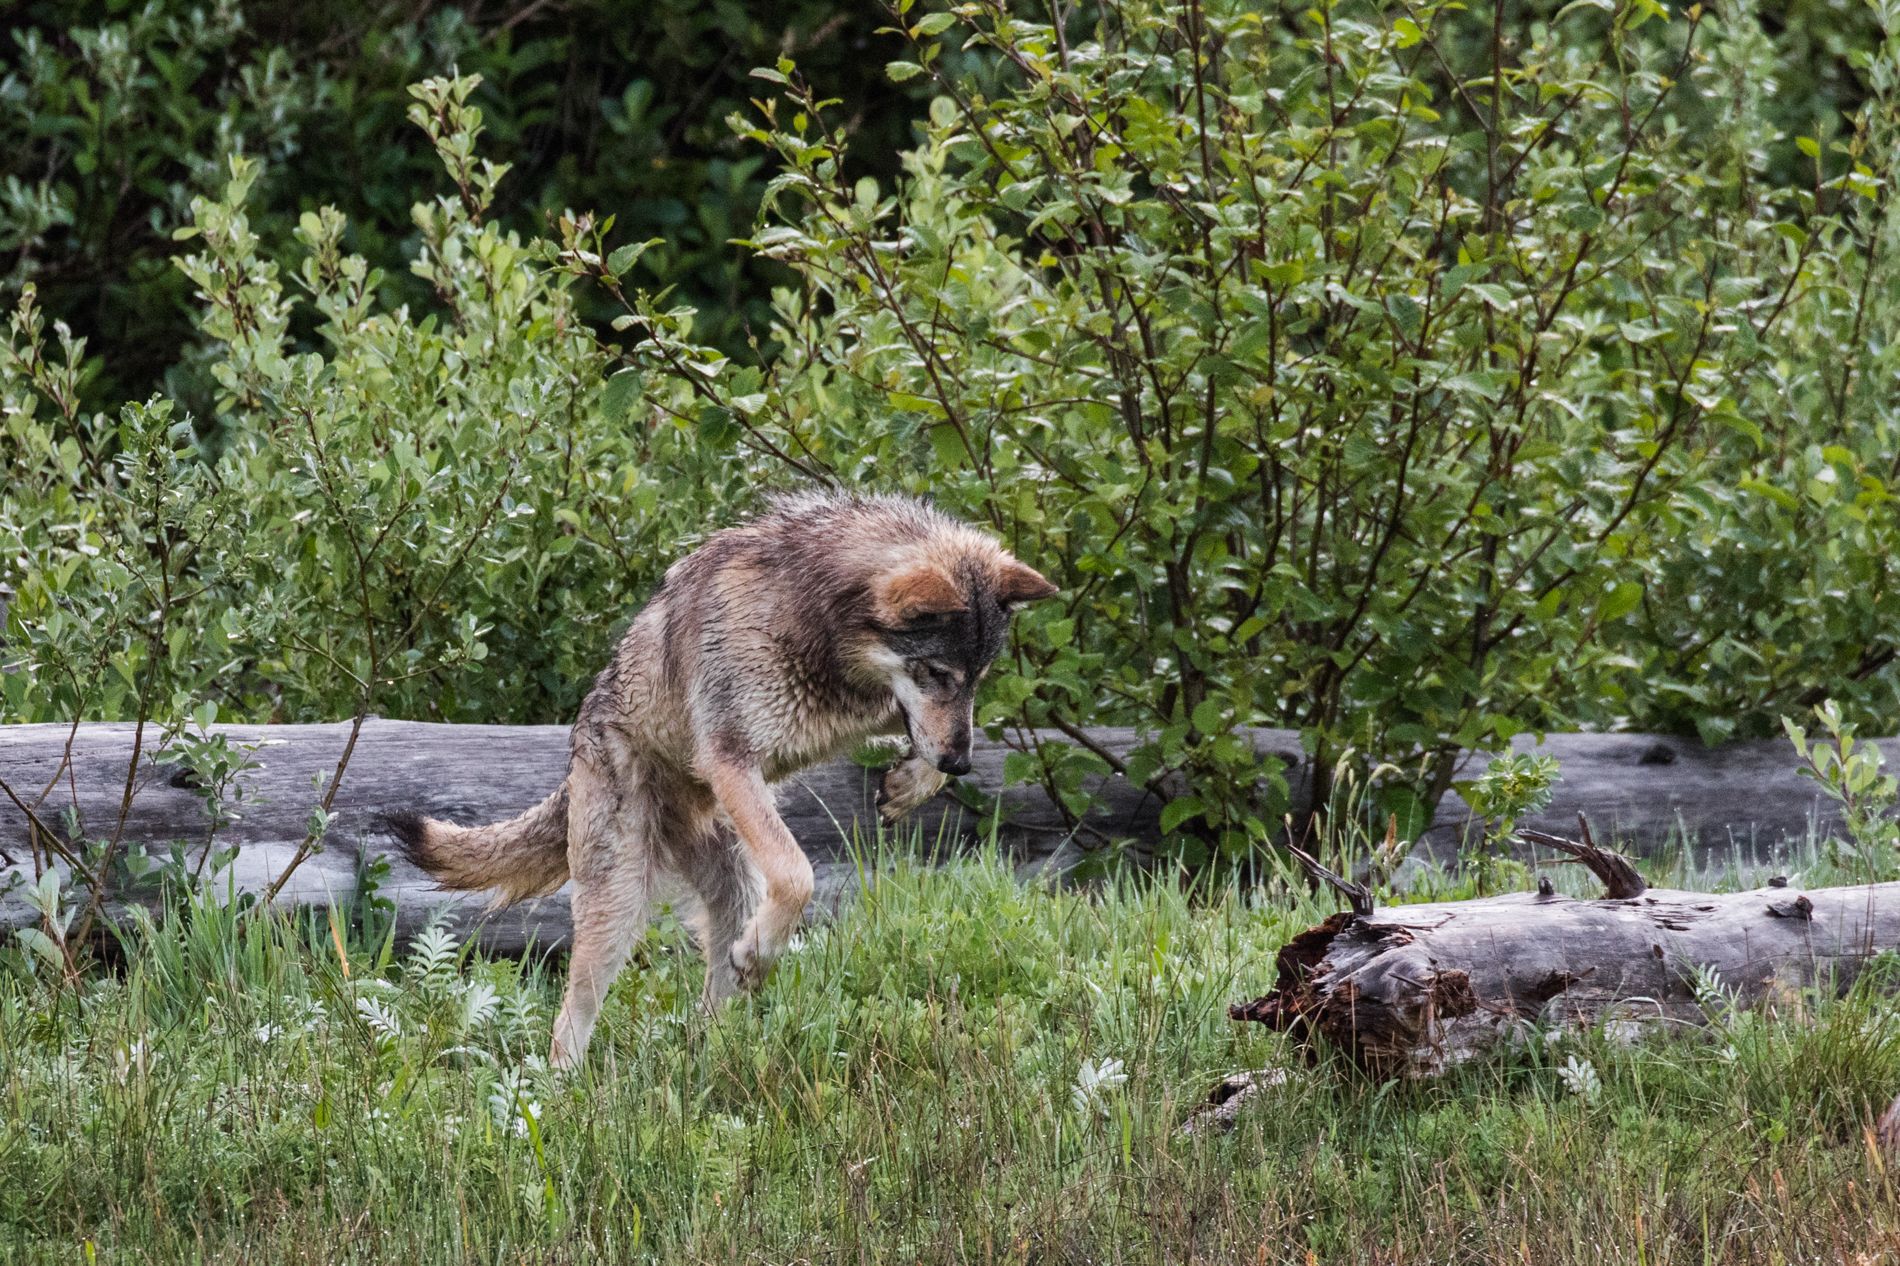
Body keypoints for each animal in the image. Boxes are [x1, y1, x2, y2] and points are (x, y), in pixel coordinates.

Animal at [389, 492, 1057, 1068]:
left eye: (978, 677)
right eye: (939, 671)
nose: (960, 765)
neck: (819, 628)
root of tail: (575, 754)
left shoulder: (883, 718)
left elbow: (933, 738)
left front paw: (910, 785)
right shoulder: (732, 760)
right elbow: (800, 875)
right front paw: (761, 954)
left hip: (730, 887)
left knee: (710, 993)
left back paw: (709, 1055)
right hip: (619, 905)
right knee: (570, 1014)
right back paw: (563, 1097)